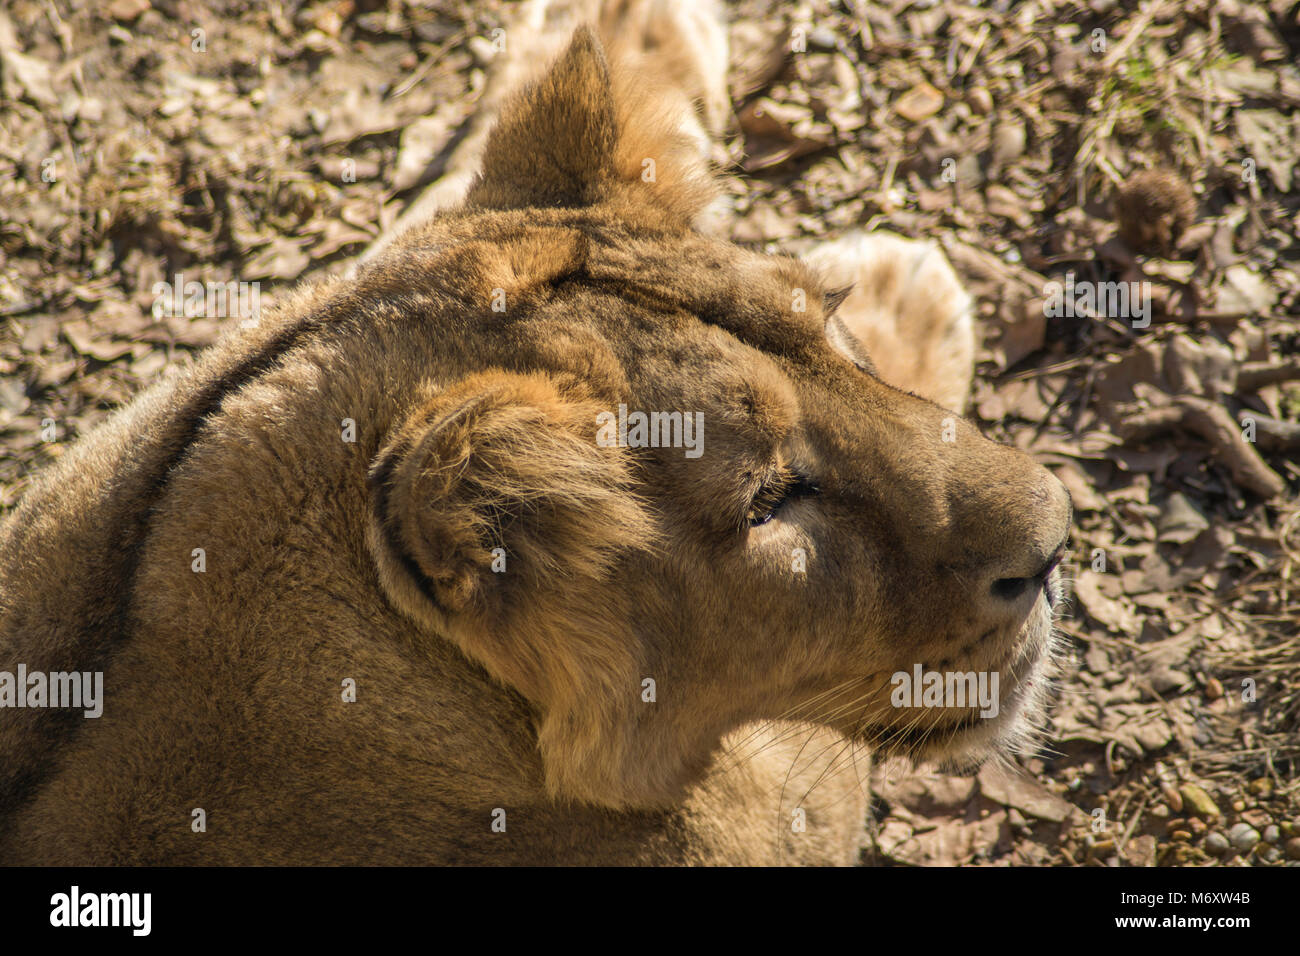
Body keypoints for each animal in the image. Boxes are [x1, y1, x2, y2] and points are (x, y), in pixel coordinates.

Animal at [0, 12, 1071, 865]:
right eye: (770, 501)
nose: (1059, 542)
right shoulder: (765, 816)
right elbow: (831, 764)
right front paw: (917, 286)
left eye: (829, 333)